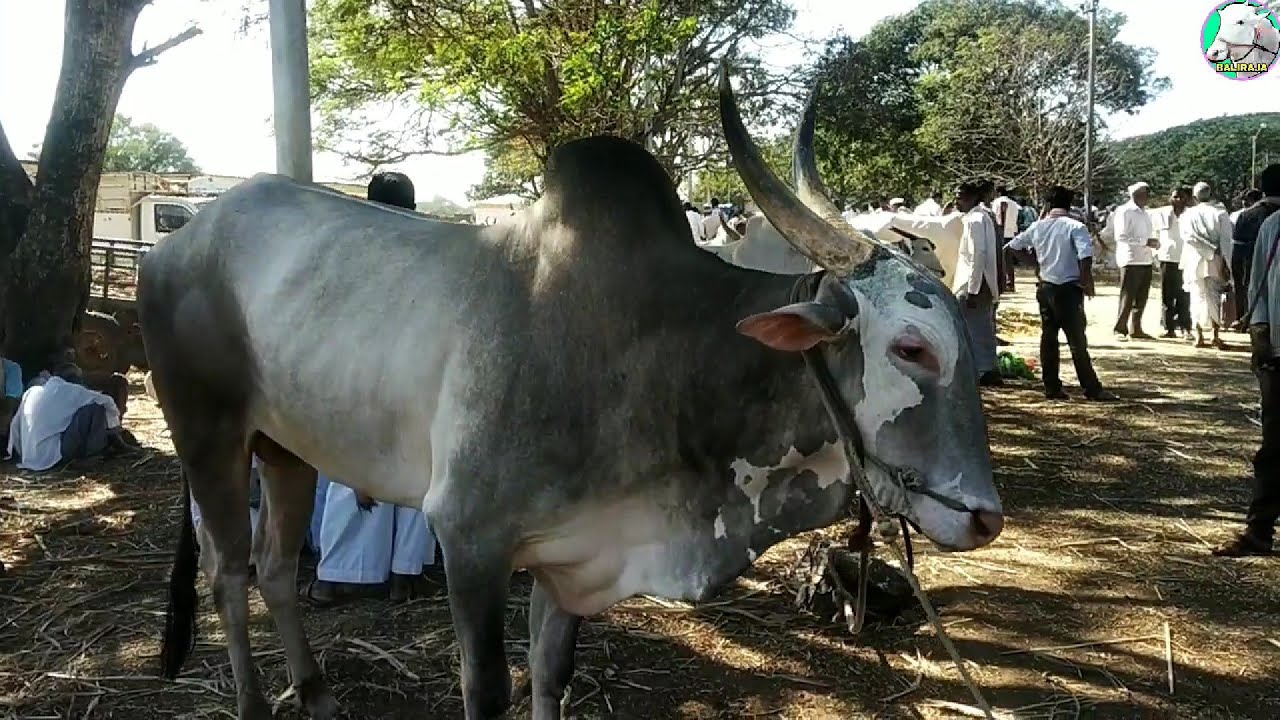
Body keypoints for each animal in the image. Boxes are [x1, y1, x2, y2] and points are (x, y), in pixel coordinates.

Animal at [146, 68, 1004, 720]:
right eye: (911, 348)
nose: (984, 516)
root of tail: (183, 236)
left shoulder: (573, 557)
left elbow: (551, 678)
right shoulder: (469, 538)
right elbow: (488, 691)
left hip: (285, 448)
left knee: (273, 565)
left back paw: (316, 693)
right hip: (208, 433)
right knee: (229, 572)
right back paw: (255, 703)